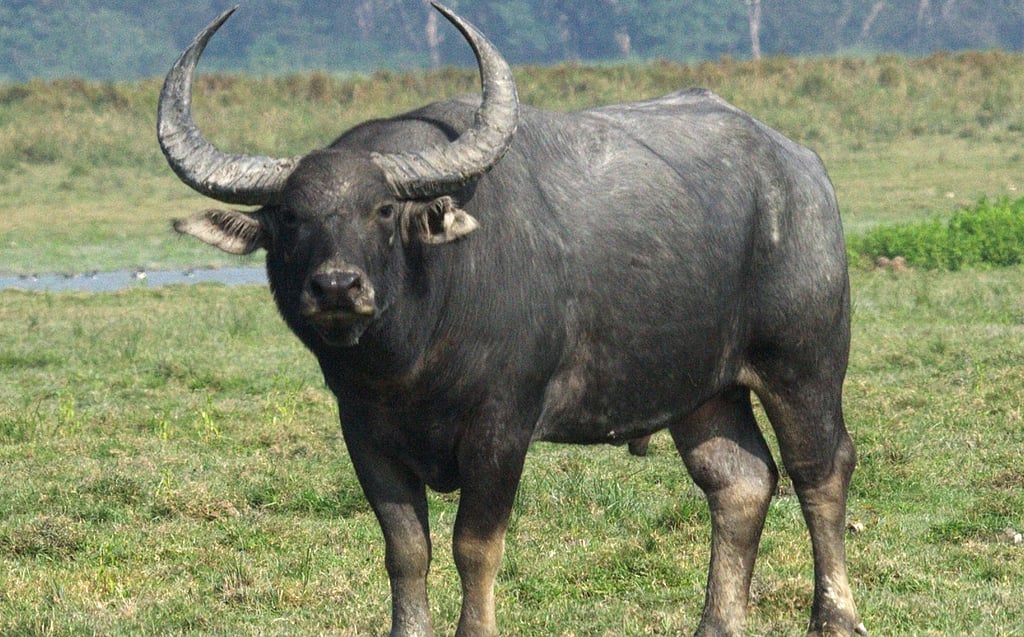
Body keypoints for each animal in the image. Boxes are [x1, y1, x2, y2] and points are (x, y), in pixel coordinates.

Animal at [158, 4, 865, 636]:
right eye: (288, 217)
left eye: (383, 210)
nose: (336, 286)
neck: (410, 359)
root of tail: (801, 167)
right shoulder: (363, 430)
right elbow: (406, 550)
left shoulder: (502, 425)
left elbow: (474, 545)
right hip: (702, 389)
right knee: (740, 482)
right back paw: (716, 623)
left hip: (803, 363)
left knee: (819, 470)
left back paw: (834, 617)